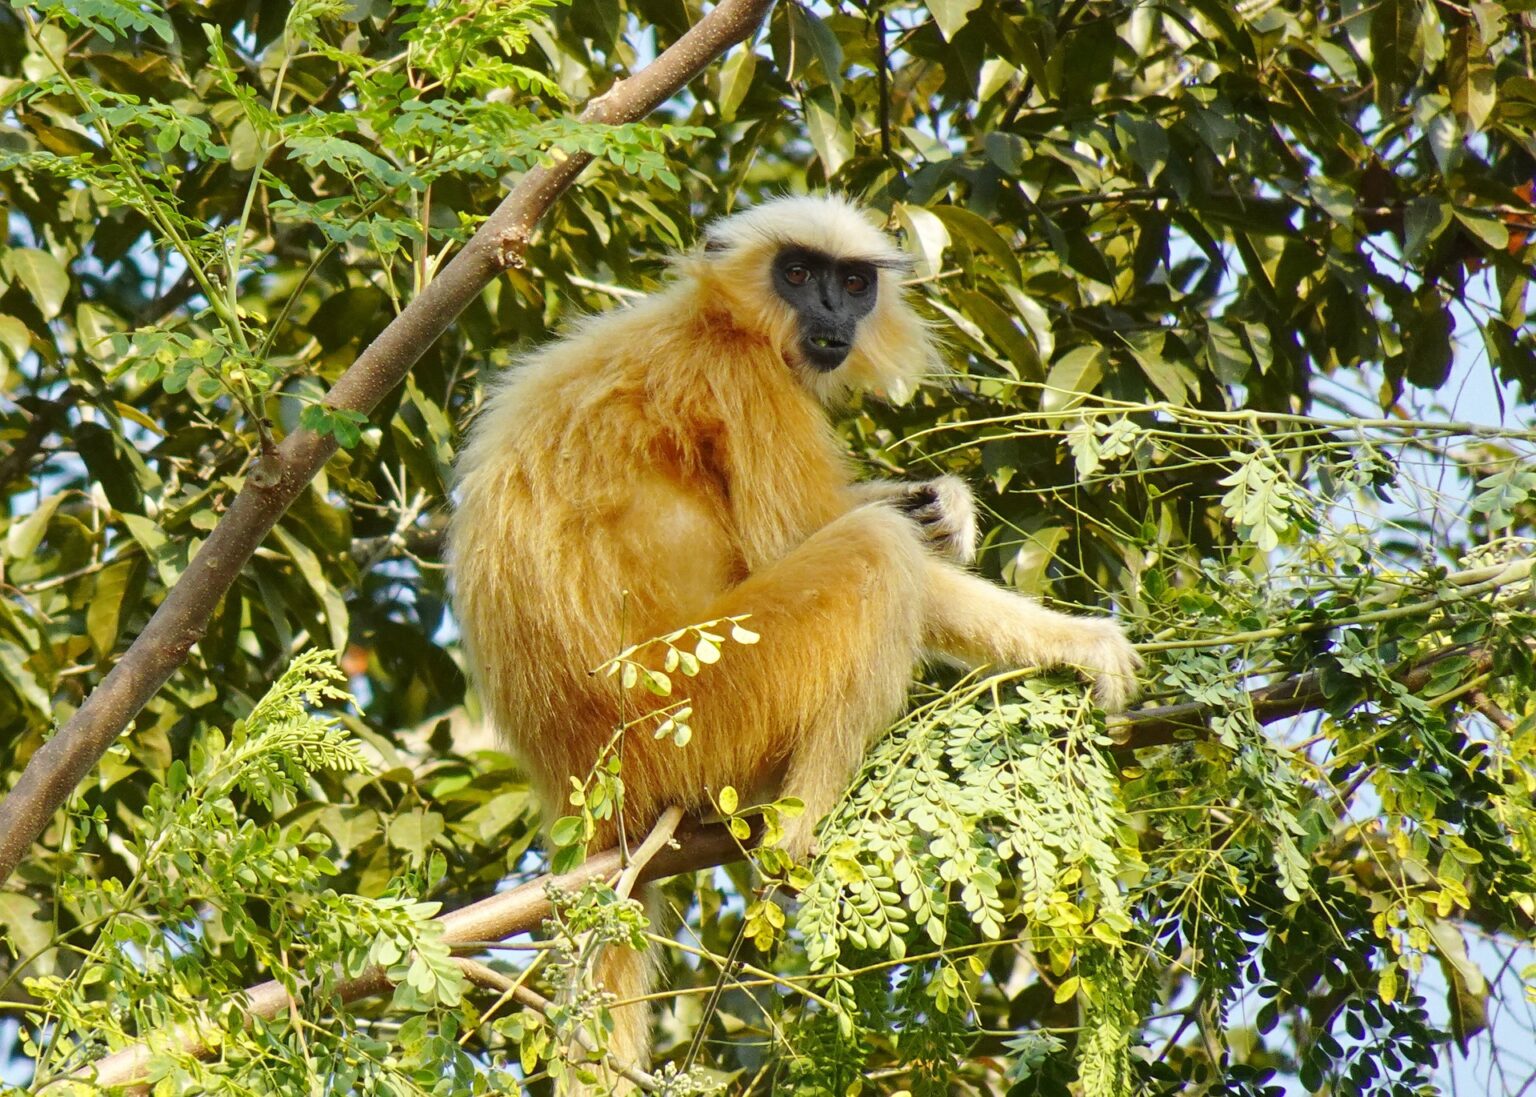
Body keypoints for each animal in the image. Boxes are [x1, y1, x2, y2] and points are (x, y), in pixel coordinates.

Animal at [448, 194, 1140, 1087]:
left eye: (852, 282)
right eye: (800, 272)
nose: (830, 315)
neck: (711, 320)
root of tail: (584, 787)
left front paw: (943, 505)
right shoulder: (747, 387)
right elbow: (805, 538)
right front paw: (1080, 641)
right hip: (704, 703)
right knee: (874, 555)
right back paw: (795, 834)